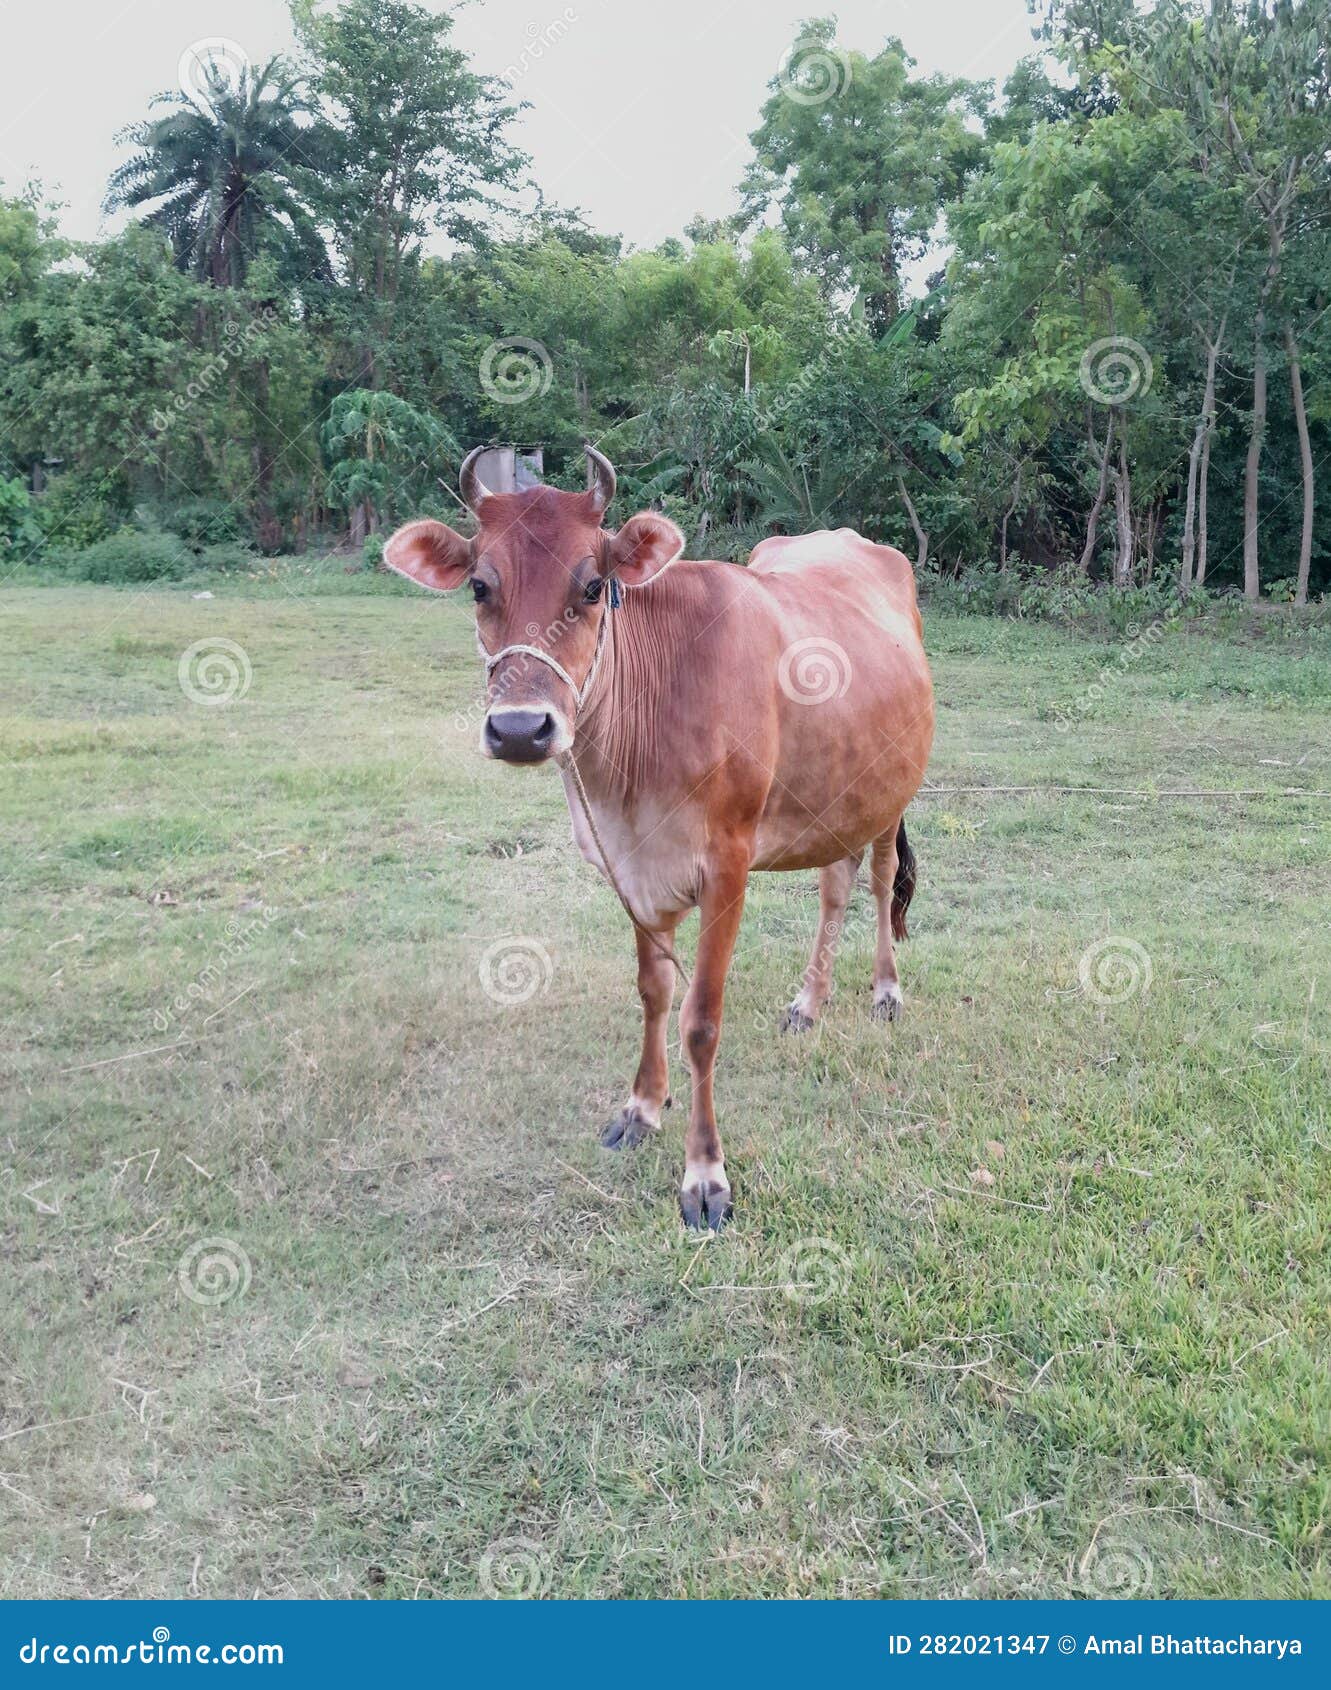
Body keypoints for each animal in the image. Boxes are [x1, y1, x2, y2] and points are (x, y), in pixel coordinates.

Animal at [384, 445, 934, 1229]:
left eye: (593, 585)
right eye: (480, 587)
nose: (520, 729)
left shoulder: (727, 863)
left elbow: (700, 1019)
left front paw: (705, 1175)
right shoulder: (629, 867)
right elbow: (652, 993)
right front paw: (642, 1107)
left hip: (892, 792)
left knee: (883, 879)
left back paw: (885, 990)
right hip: (838, 794)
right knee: (836, 885)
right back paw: (809, 1002)